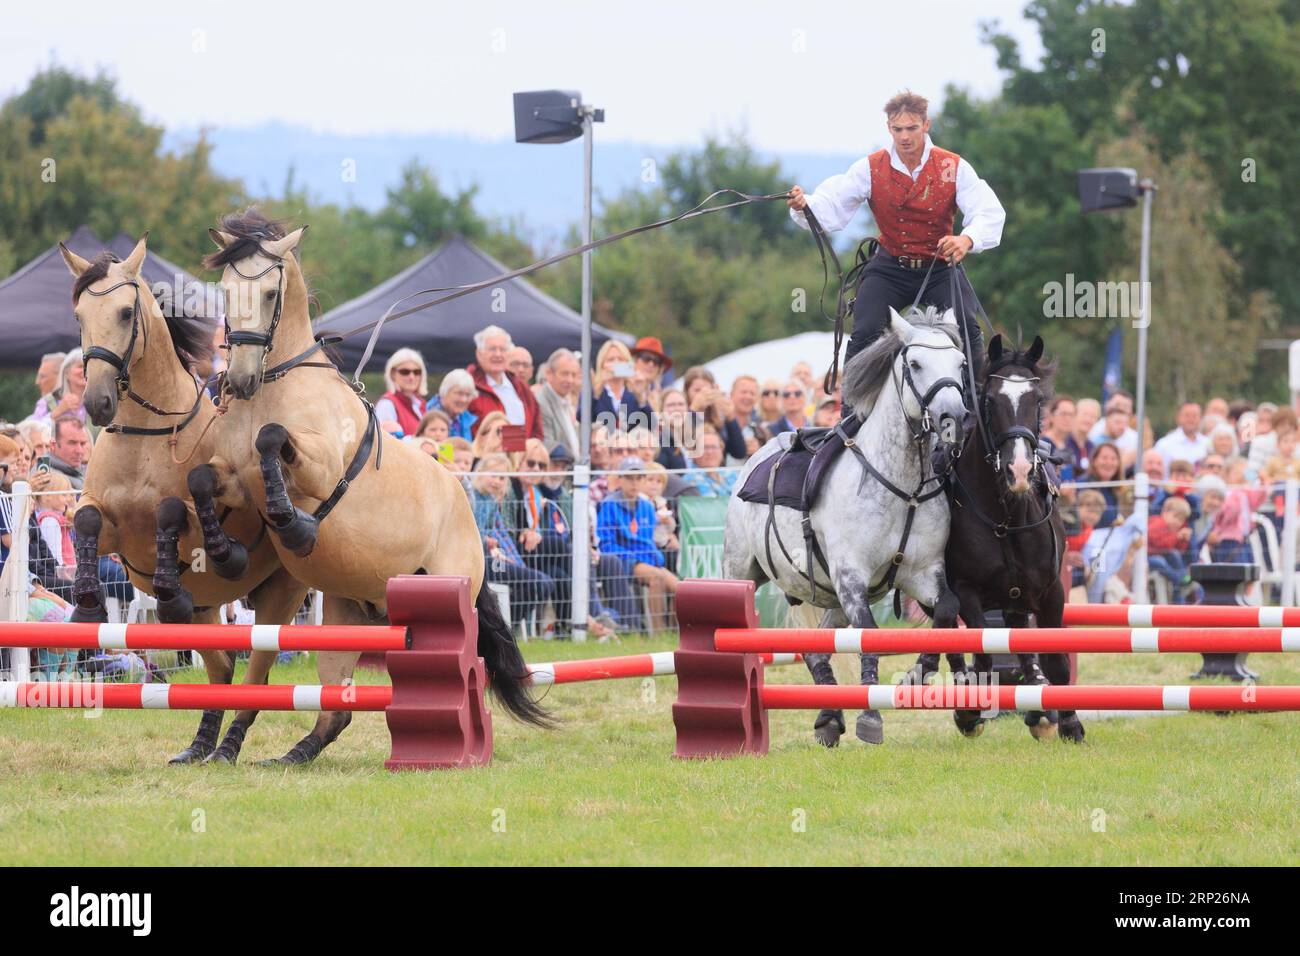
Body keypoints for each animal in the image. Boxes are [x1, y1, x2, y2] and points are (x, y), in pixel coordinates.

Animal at [58, 235, 308, 765]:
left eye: (126, 312)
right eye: (79, 316)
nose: (96, 404)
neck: (143, 433)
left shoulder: (193, 518)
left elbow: (174, 511)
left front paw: (175, 585)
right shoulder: (111, 531)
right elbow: (85, 520)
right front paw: (86, 608)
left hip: (278, 602)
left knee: (254, 674)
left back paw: (227, 747)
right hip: (207, 613)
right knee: (221, 668)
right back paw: (198, 747)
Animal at [184, 209, 548, 764]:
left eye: (269, 294)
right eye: (225, 292)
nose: (239, 381)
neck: (275, 388)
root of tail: (465, 507)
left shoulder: (317, 465)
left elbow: (274, 442)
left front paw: (294, 527)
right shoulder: (234, 481)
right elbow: (201, 478)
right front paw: (224, 553)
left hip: (438, 598)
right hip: (345, 612)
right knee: (337, 709)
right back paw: (290, 756)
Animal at [724, 306, 972, 747]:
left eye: (961, 363)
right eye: (915, 363)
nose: (954, 419)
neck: (903, 485)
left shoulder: (923, 573)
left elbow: (946, 611)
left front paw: (918, 676)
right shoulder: (850, 576)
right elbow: (869, 635)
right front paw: (871, 716)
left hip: (829, 596)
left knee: (816, 649)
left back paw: (829, 717)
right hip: (743, 573)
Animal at [909, 333, 1080, 741]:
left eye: (1038, 401)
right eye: (989, 400)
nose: (1018, 469)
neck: (1006, 516)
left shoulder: (1051, 592)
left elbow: (1056, 659)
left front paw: (1068, 721)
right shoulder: (967, 591)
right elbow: (982, 649)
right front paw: (969, 711)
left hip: (1017, 599)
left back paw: (1037, 701)